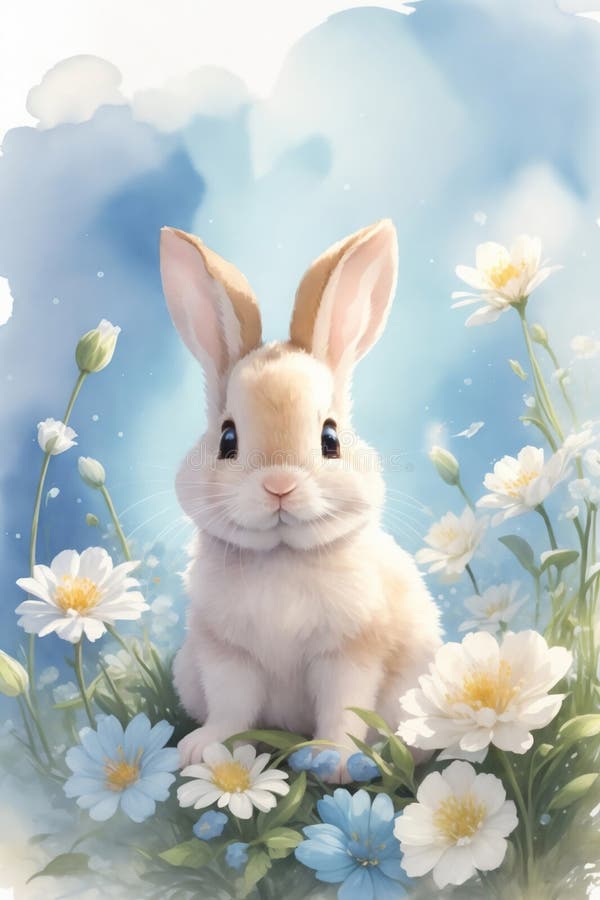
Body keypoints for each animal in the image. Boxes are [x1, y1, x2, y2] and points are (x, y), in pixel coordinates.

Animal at [160, 219, 442, 783]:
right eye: (227, 439)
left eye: (330, 439)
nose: (279, 486)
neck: (281, 556)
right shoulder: (227, 657)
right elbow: (231, 709)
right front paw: (205, 751)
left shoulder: (349, 655)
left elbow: (344, 709)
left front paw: (334, 760)